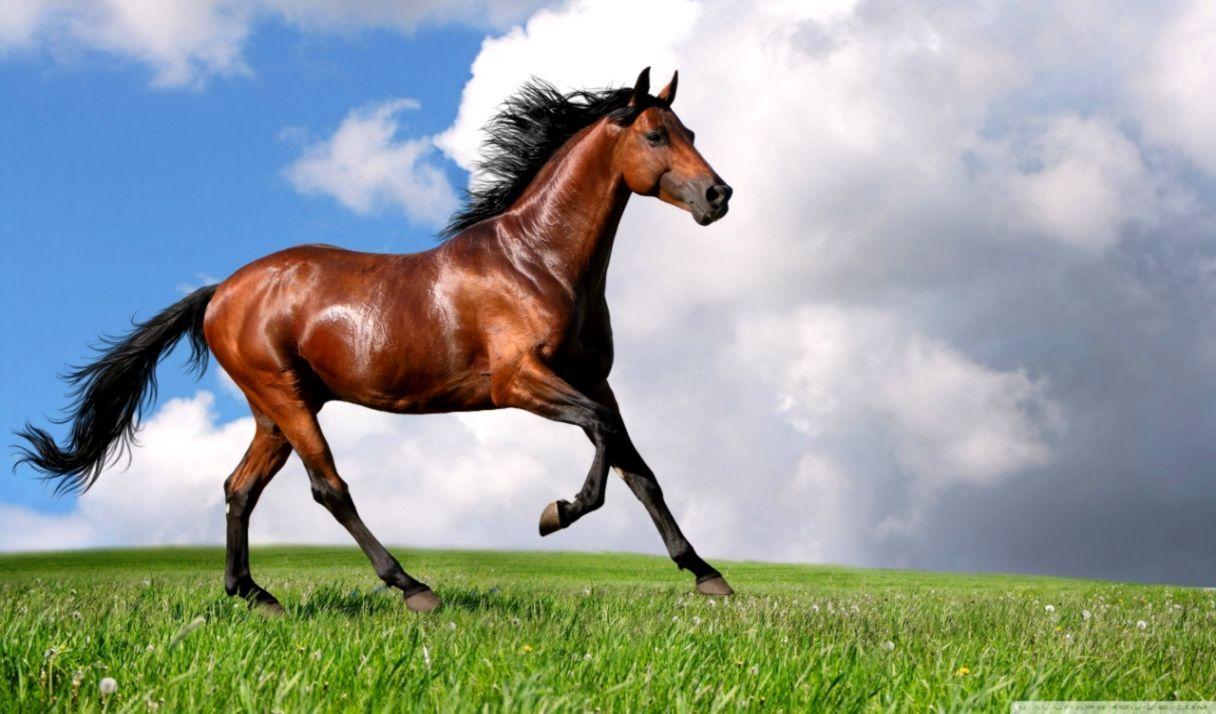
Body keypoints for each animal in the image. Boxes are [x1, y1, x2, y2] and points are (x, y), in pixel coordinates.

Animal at [16, 67, 734, 613]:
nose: (718, 194)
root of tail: (221, 291)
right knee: (328, 486)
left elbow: (638, 469)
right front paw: (555, 513)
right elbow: (606, 445)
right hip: (285, 398)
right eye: (656, 133)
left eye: (692, 132)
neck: (538, 261)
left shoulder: (594, 380)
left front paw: (707, 574)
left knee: (239, 488)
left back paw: (255, 595)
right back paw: (412, 588)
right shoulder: (520, 381)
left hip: (275, 410)